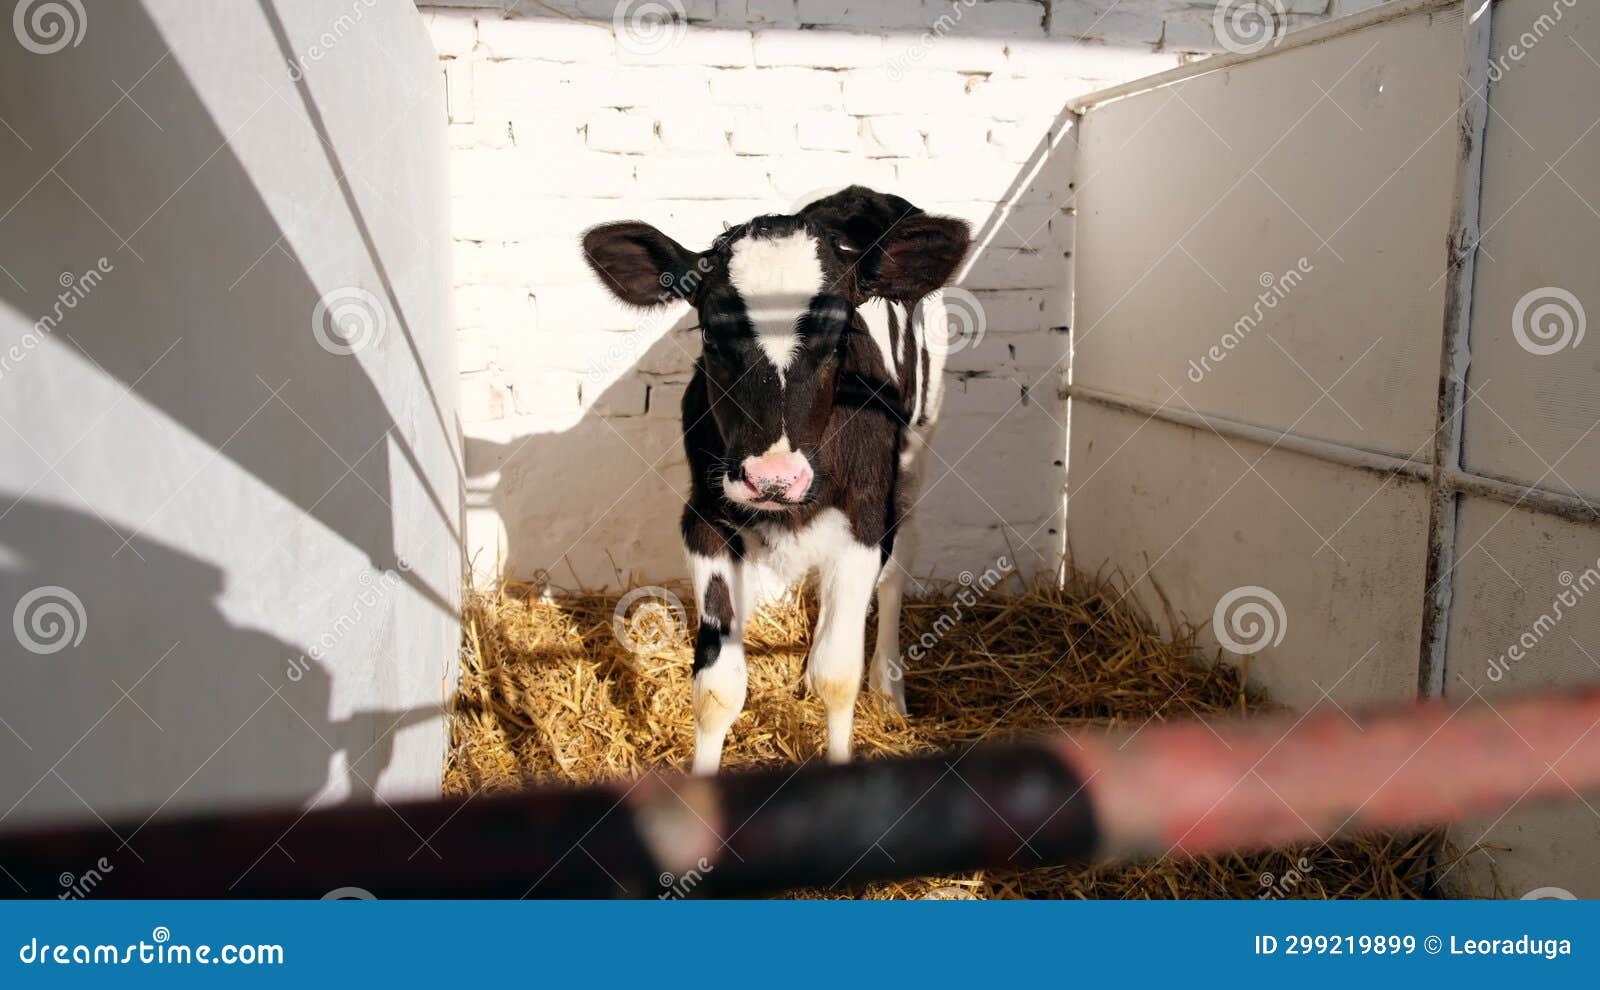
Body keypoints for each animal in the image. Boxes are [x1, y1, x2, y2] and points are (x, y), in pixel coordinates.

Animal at [582, 186, 971, 774]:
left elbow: (839, 675)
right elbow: (717, 688)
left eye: (841, 334)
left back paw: (889, 689)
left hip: (915, 450)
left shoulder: (864, 521)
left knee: (898, 567)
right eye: (711, 333)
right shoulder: (705, 519)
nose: (773, 477)